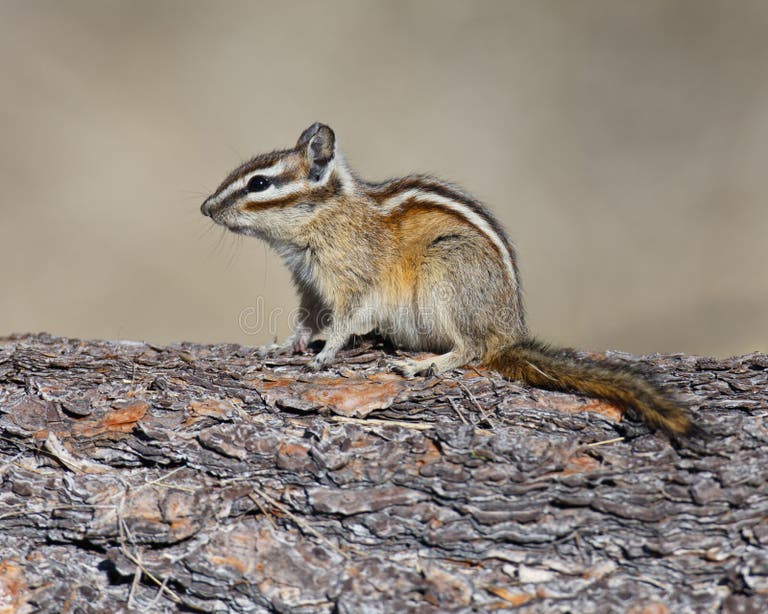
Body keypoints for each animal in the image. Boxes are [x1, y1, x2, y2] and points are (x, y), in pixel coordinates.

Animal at [201, 122, 692, 436]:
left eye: (259, 183)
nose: (205, 208)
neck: (327, 216)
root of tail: (510, 333)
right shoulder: (309, 285)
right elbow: (306, 320)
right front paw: (284, 346)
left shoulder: (353, 280)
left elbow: (346, 320)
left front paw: (326, 355)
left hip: (448, 268)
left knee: (474, 350)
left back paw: (427, 364)